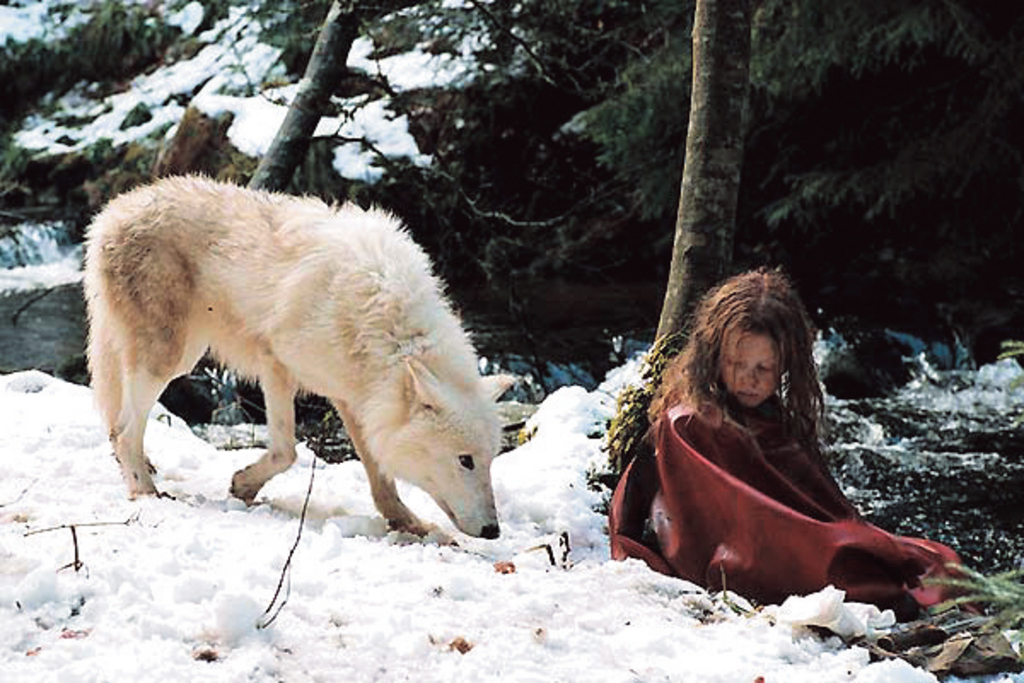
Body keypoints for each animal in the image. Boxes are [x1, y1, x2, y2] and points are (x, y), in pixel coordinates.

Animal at [83, 175, 513, 539]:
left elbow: (380, 476)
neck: (385, 330)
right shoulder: (277, 365)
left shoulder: (353, 396)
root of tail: (113, 211)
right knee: (123, 430)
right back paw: (145, 491)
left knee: (118, 423)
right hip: (171, 358)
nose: (494, 531)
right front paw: (243, 485)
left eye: (492, 459)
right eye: (465, 460)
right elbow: (286, 451)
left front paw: (407, 523)